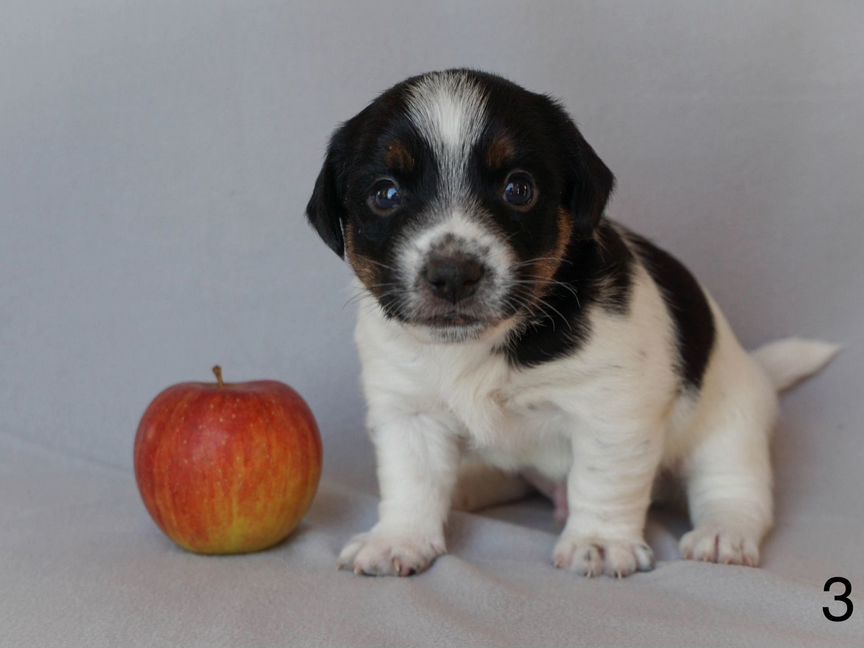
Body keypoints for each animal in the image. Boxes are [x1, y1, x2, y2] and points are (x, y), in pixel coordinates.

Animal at [306, 71, 836, 576]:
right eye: (385, 193)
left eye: (519, 189)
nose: (453, 274)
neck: (484, 343)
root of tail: (757, 370)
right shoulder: (408, 412)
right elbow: (413, 481)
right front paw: (400, 538)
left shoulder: (612, 411)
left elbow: (601, 480)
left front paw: (598, 541)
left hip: (730, 429)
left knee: (734, 491)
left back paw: (723, 534)